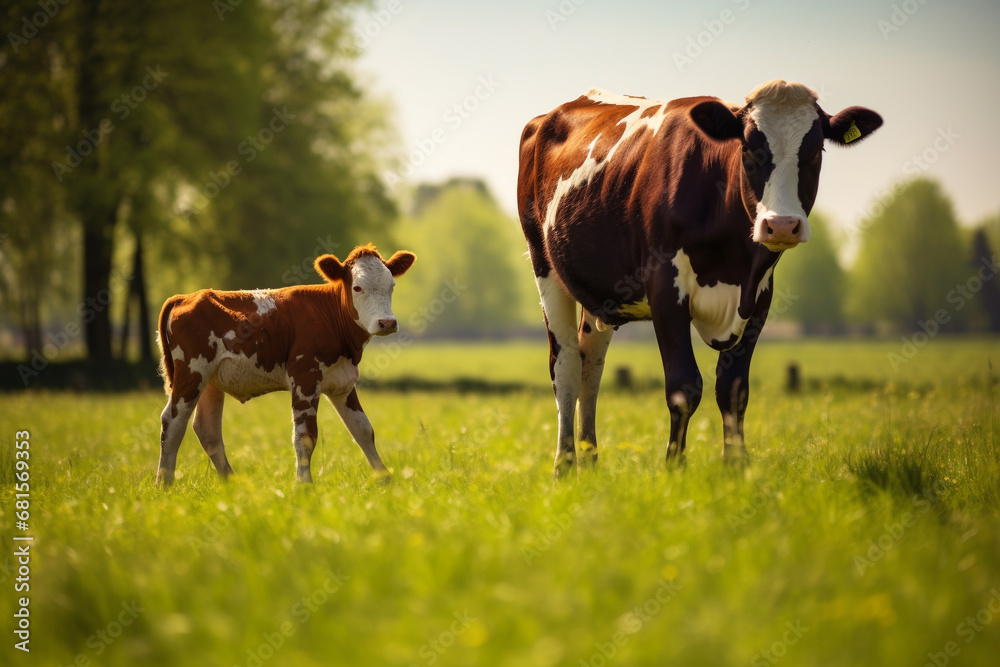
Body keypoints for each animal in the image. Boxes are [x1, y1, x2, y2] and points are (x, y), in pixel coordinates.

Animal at [155, 244, 416, 486]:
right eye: (357, 287)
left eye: (391, 286)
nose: (387, 322)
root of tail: (185, 297)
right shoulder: (305, 377)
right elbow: (305, 436)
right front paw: (304, 485)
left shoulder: (342, 381)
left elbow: (363, 430)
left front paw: (385, 480)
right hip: (191, 372)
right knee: (173, 421)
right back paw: (163, 484)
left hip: (210, 382)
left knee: (206, 429)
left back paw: (231, 483)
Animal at [517, 79, 882, 475]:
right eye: (748, 149)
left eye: (815, 152)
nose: (782, 224)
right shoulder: (665, 288)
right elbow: (683, 387)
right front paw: (674, 468)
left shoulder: (759, 297)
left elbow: (733, 389)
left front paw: (736, 467)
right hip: (544, 264)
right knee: (566, 366)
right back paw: (565, 466)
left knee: (591, 366)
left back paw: (590, 460)